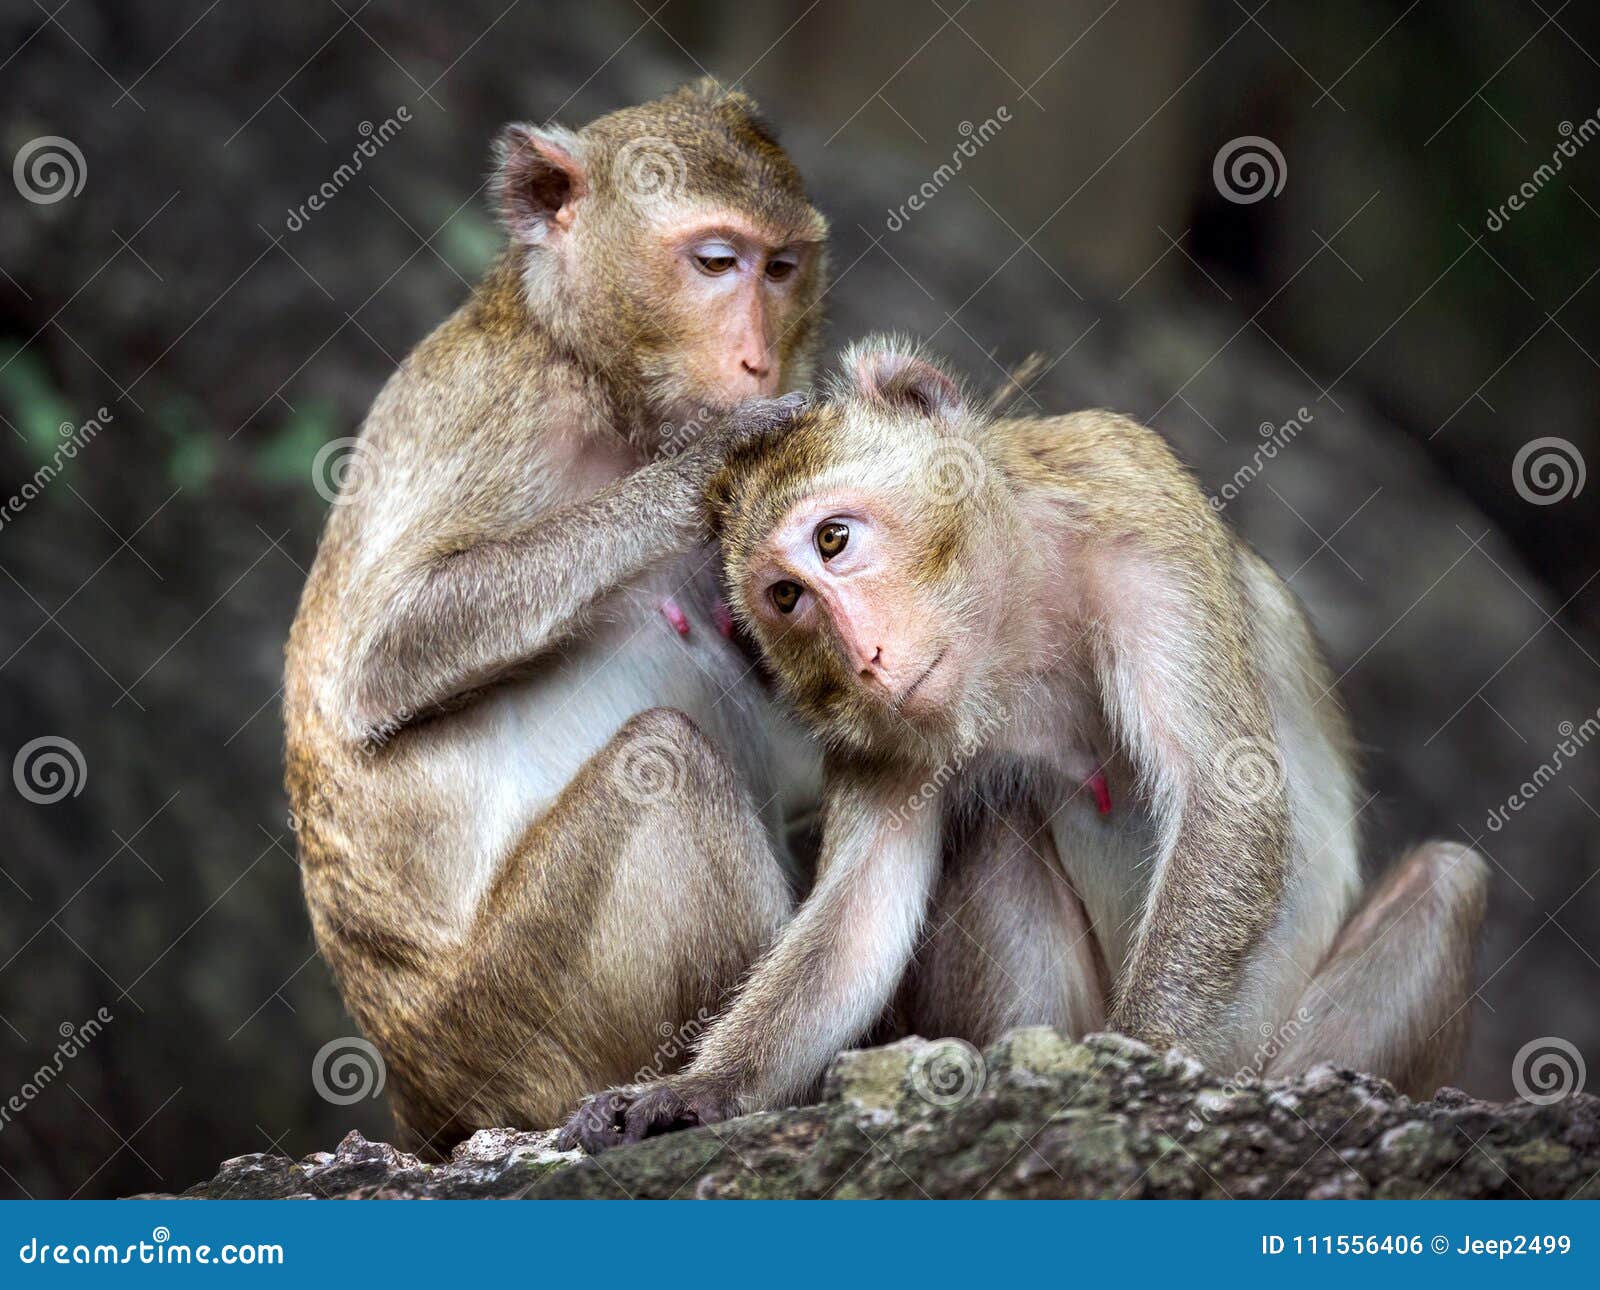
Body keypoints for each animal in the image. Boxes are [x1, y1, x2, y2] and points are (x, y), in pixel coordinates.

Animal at [283, 82, 834, 1153]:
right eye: (718, 262)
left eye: (783, 268)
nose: (757, 361)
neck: (597, 378)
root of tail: (431, 1107)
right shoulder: (492, 406)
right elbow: (378, 658)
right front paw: (708, 462)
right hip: (522, 1014)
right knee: (662, 765)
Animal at [559, 336, 1489, 1150]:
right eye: (787, 598)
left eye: (832, 538)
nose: (864, 657)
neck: (1015, 602)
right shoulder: (871, 726)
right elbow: (864, 912)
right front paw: (700, 1089)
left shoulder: (1132, 494)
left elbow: (1229, 793)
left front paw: (1134, 1065)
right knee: (995, 828)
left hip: (1273, 1058)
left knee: (1448, 882)